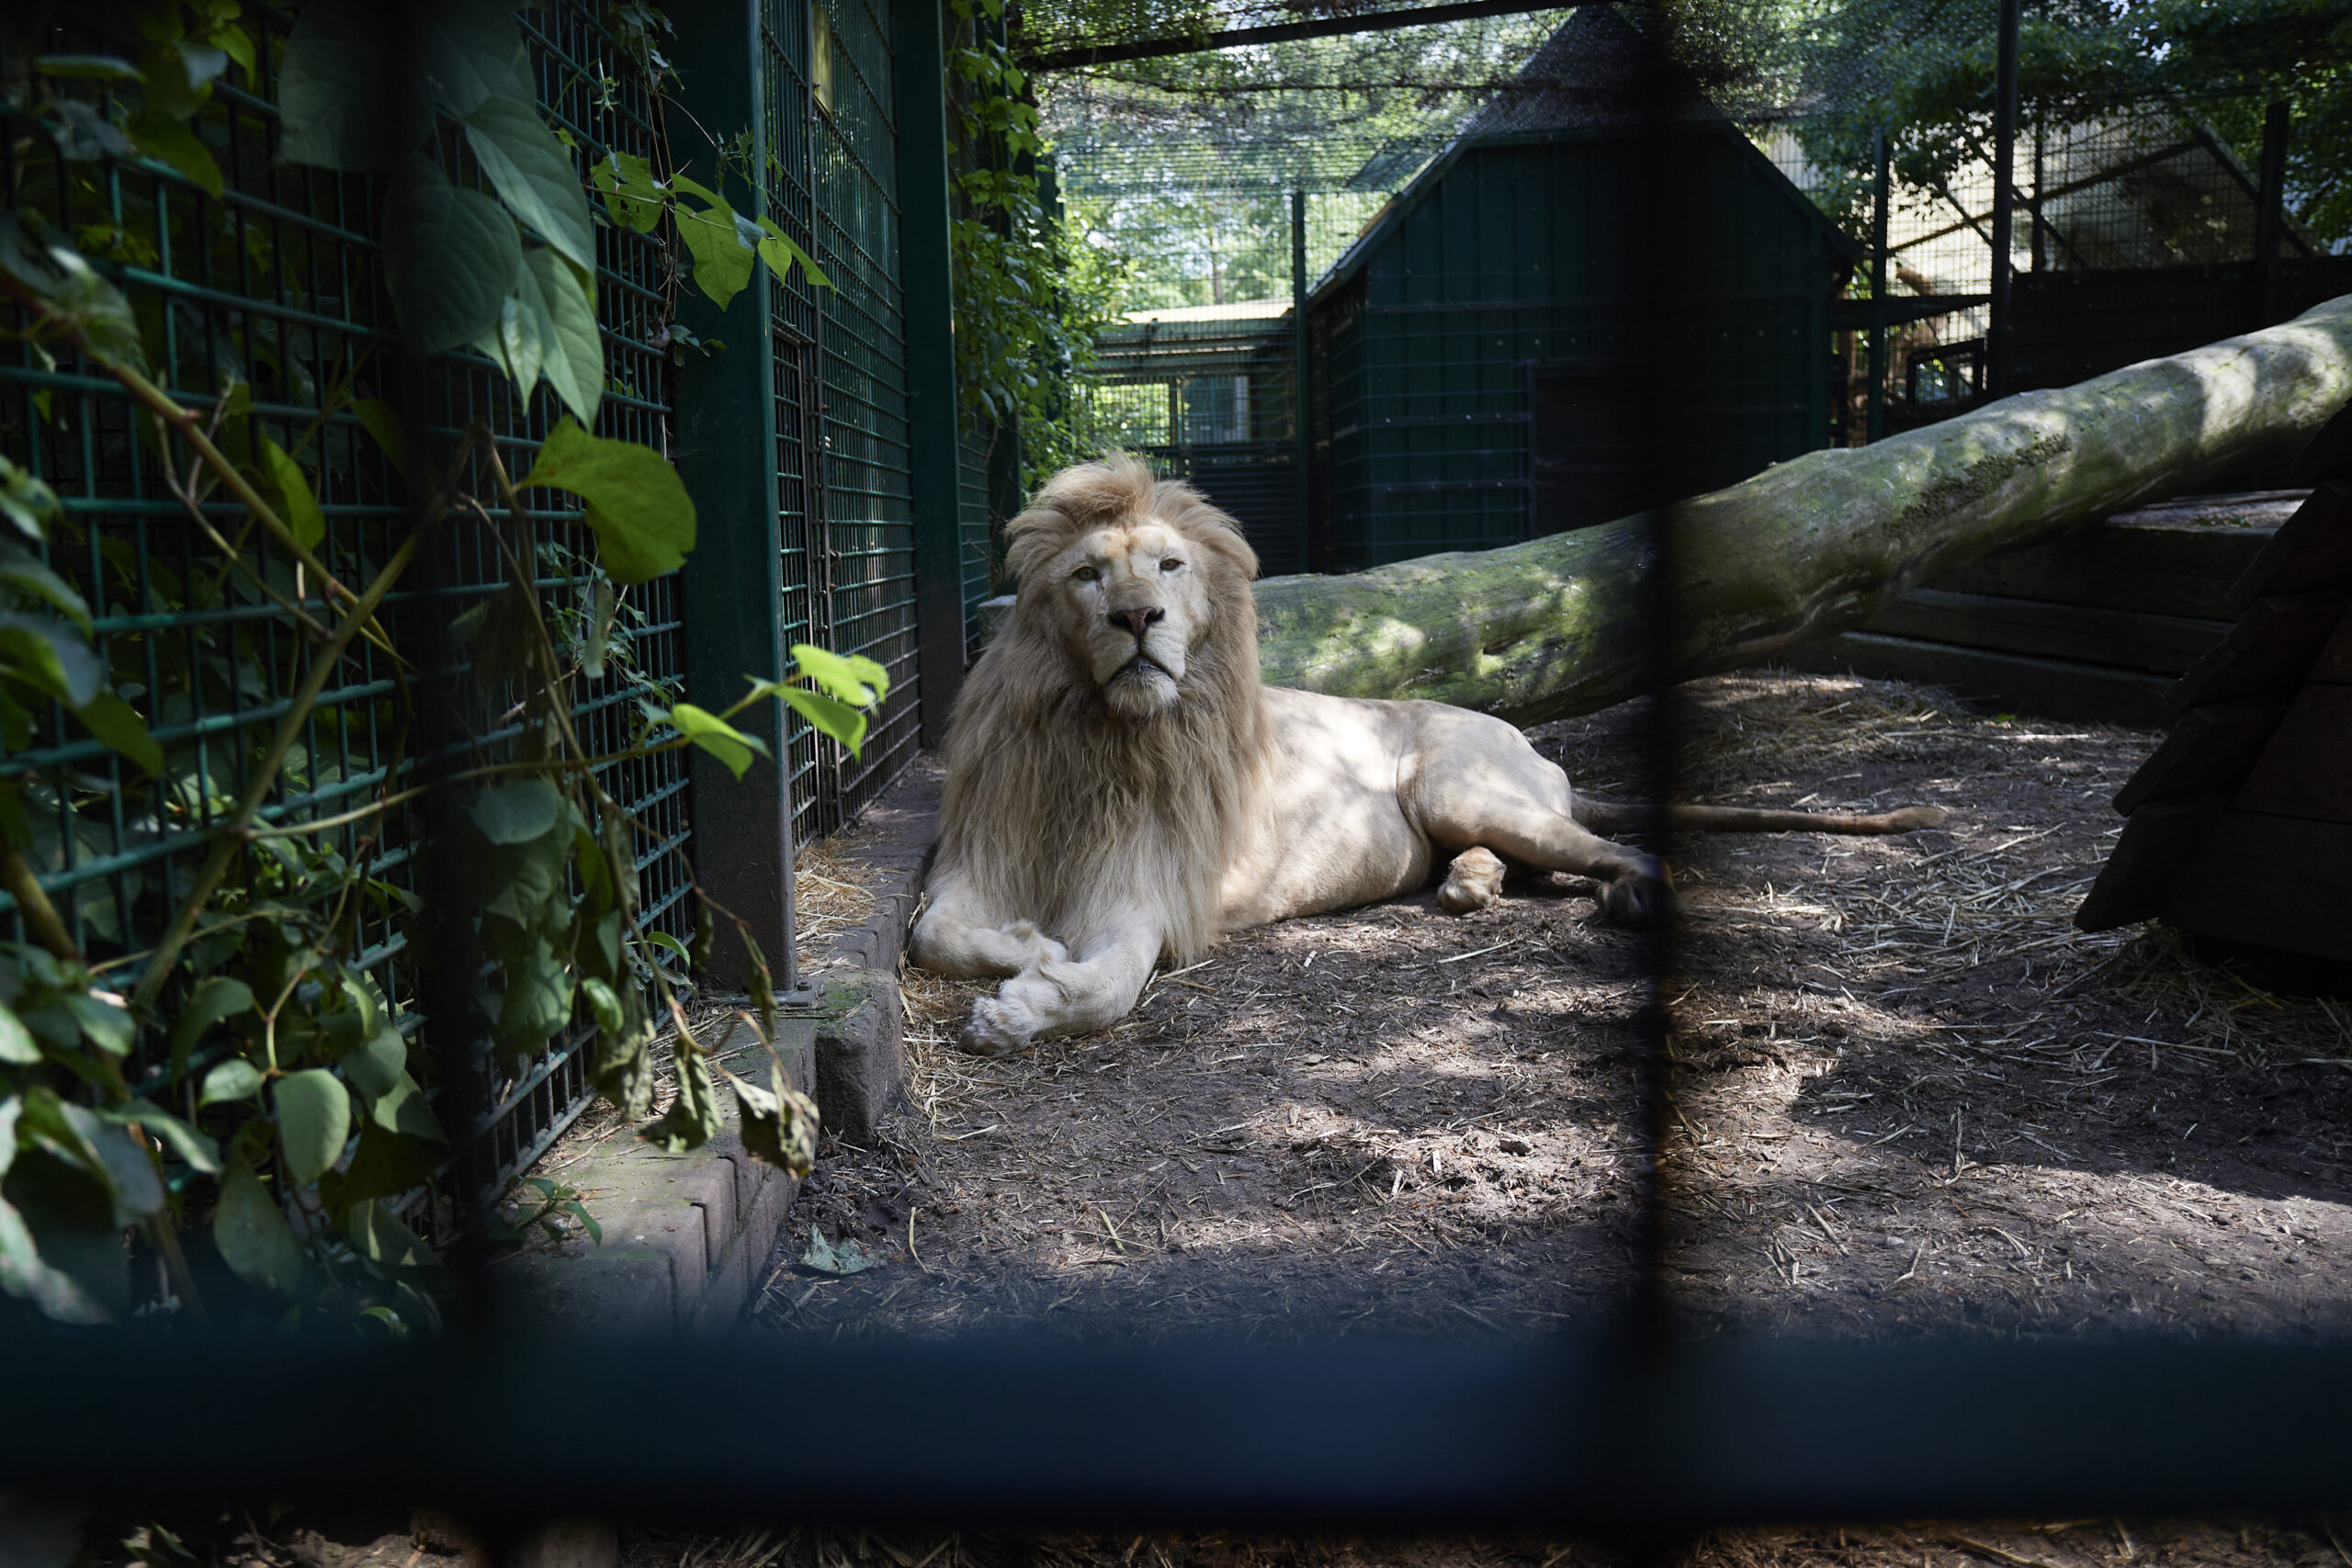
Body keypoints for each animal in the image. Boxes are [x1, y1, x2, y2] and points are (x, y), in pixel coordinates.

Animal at [911, 457, 1944, 1055]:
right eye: (1091, 576)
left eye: (1169, 566)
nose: (1137, 618)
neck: (1095, 737)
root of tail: (1533, 746)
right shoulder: (977, 861)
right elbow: (935, 934)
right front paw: (1029, 946)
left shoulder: (1145, 894)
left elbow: (1112, 986)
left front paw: (1026, 1002)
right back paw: (1471, 886)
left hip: (1461, 787)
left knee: (1622, 850)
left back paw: (1623, 896)